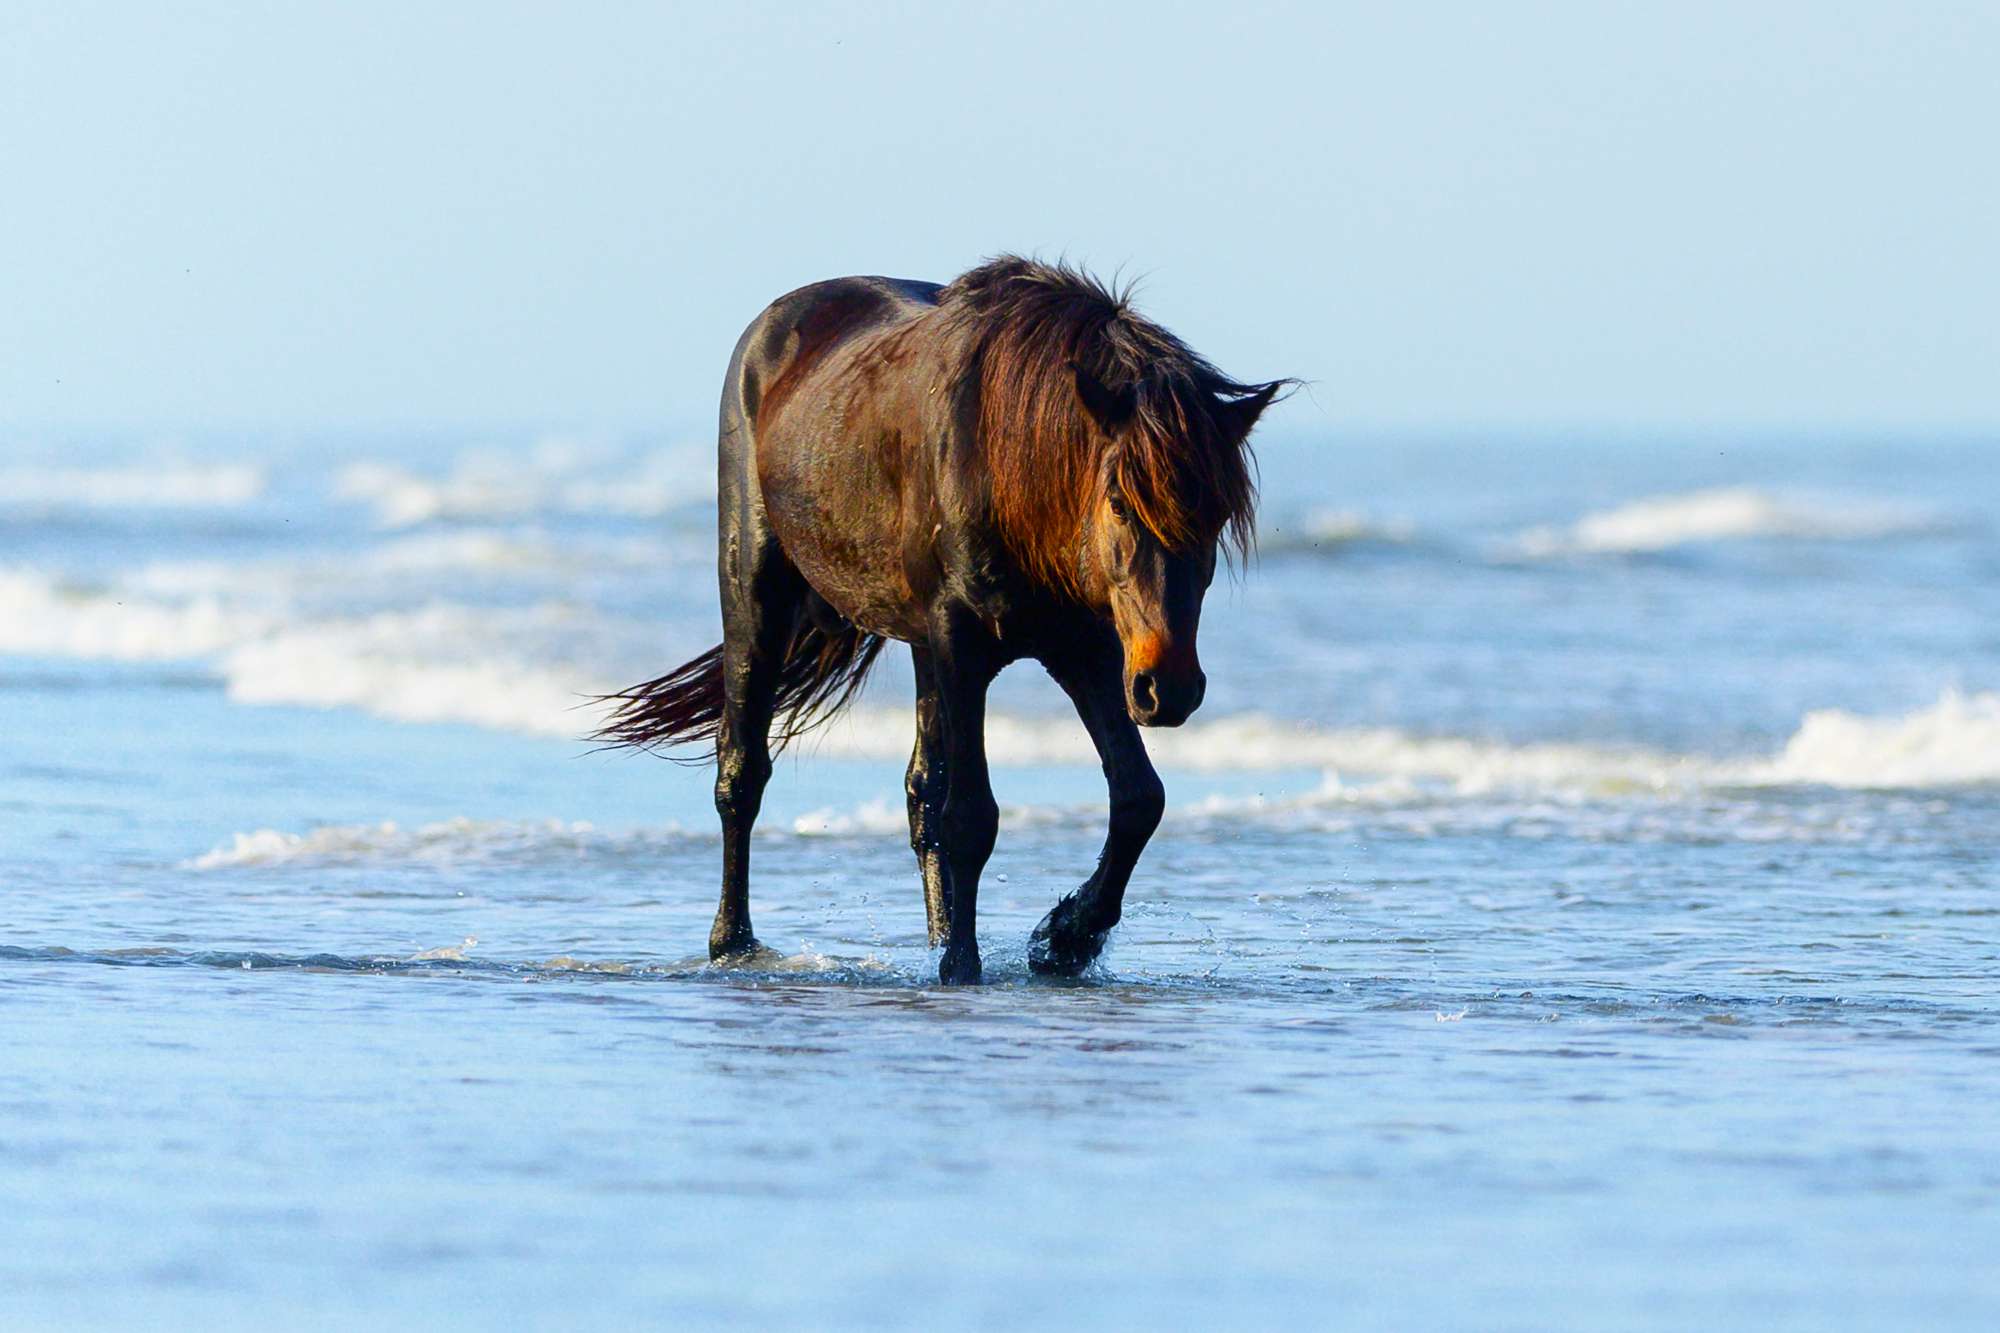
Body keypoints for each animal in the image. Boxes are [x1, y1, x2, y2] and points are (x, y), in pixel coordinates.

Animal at [597, 256, 1290, 984]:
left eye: (1217, 515)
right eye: (1123, 503)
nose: (1171, 688)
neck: (1011, 470)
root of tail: (774, 327)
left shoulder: (1086, 650)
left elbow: (1136, 798)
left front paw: (1061, 938)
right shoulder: (964, 643)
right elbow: (972, 816)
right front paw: (964, 963)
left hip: (922, 645)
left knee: (919, 791)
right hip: (756, 598)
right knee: (743, 771)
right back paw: (733, 942)